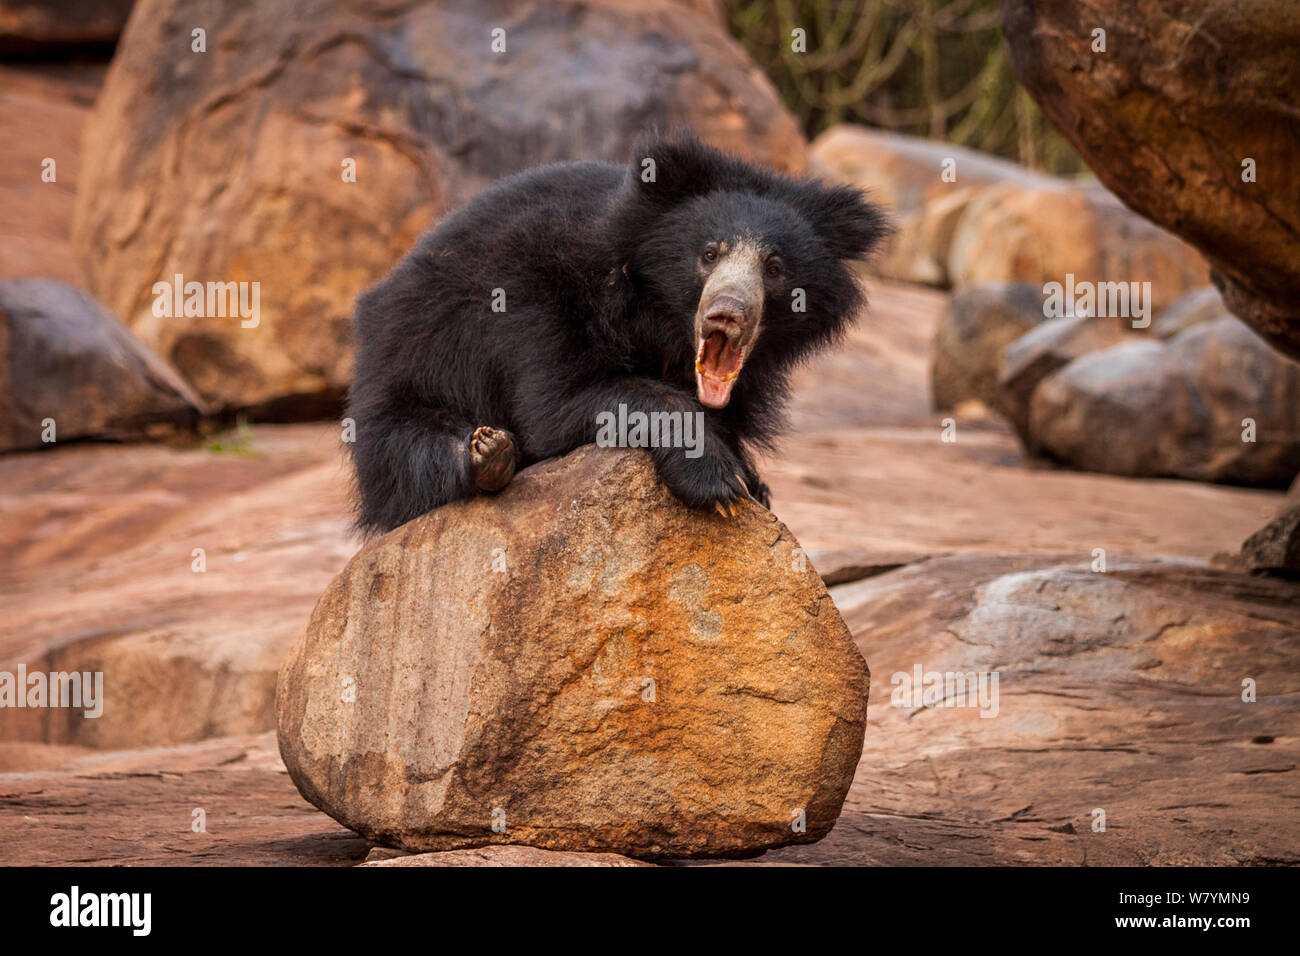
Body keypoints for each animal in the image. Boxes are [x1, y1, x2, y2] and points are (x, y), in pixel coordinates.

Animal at [346, 133, 888, 533]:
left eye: (774, 268)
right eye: (709, 253)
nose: (728, 314)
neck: (656, 317)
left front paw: (753, 483)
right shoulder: (534, 296)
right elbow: (558, 402)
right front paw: (717, 482)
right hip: (406, 372)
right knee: (406, 451)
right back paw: (487, 456)